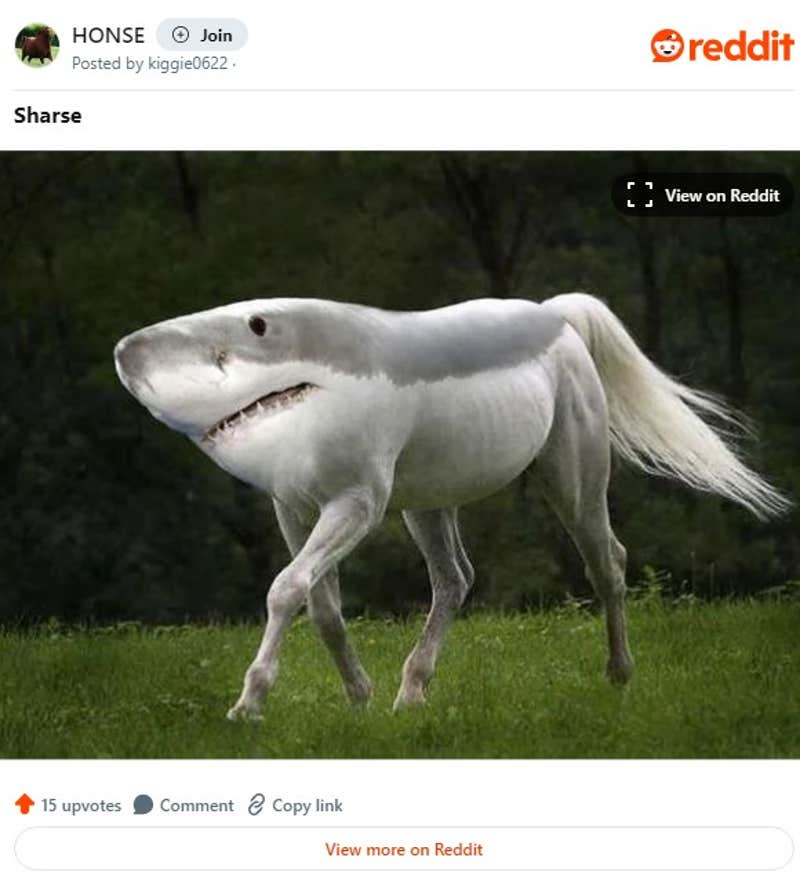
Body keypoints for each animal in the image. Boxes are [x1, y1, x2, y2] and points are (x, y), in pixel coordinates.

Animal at [114, 294, 789, 720]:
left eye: (257, 325)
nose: (129, 356)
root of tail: (555, 312)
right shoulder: (294, 508)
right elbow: (321, 606)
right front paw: (360, 698)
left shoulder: (357, 503)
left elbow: (286, 589)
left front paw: (249, 704)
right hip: (429, 504)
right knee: (455, 579)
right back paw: (410, 695)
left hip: (572, 478)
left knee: (607, 562)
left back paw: (619, 675)